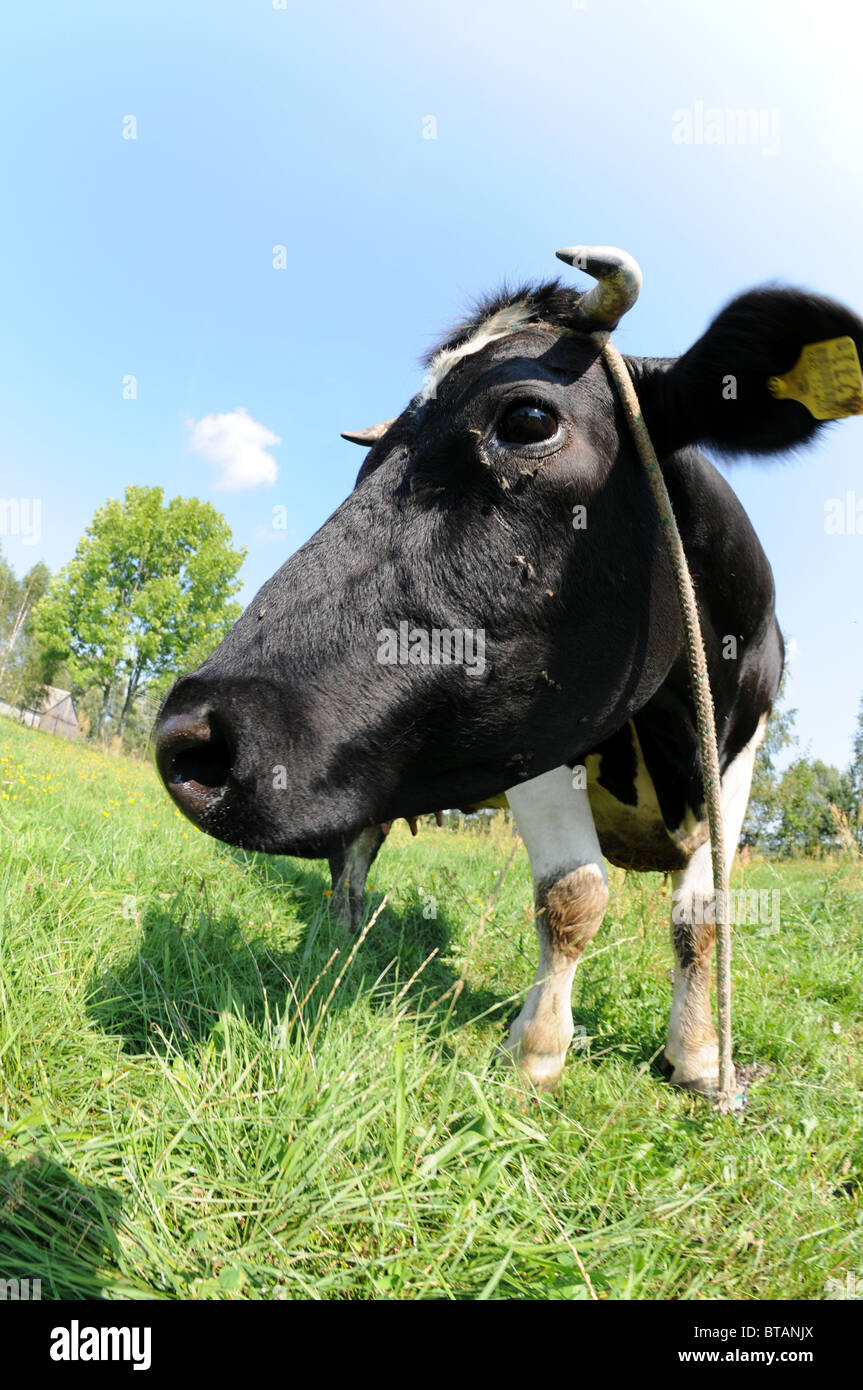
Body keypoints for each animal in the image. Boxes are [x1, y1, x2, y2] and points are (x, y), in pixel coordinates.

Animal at [152, 245, 863, 1096]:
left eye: (527, 421)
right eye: (362, 474)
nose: (189, 735)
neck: (672, 724)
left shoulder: (740, 746)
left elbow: (703, 913)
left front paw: (695, 1059)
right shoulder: (531, 729)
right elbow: (572, 893)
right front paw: (534, 1051)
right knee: (352, 857)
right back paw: (342, 948)